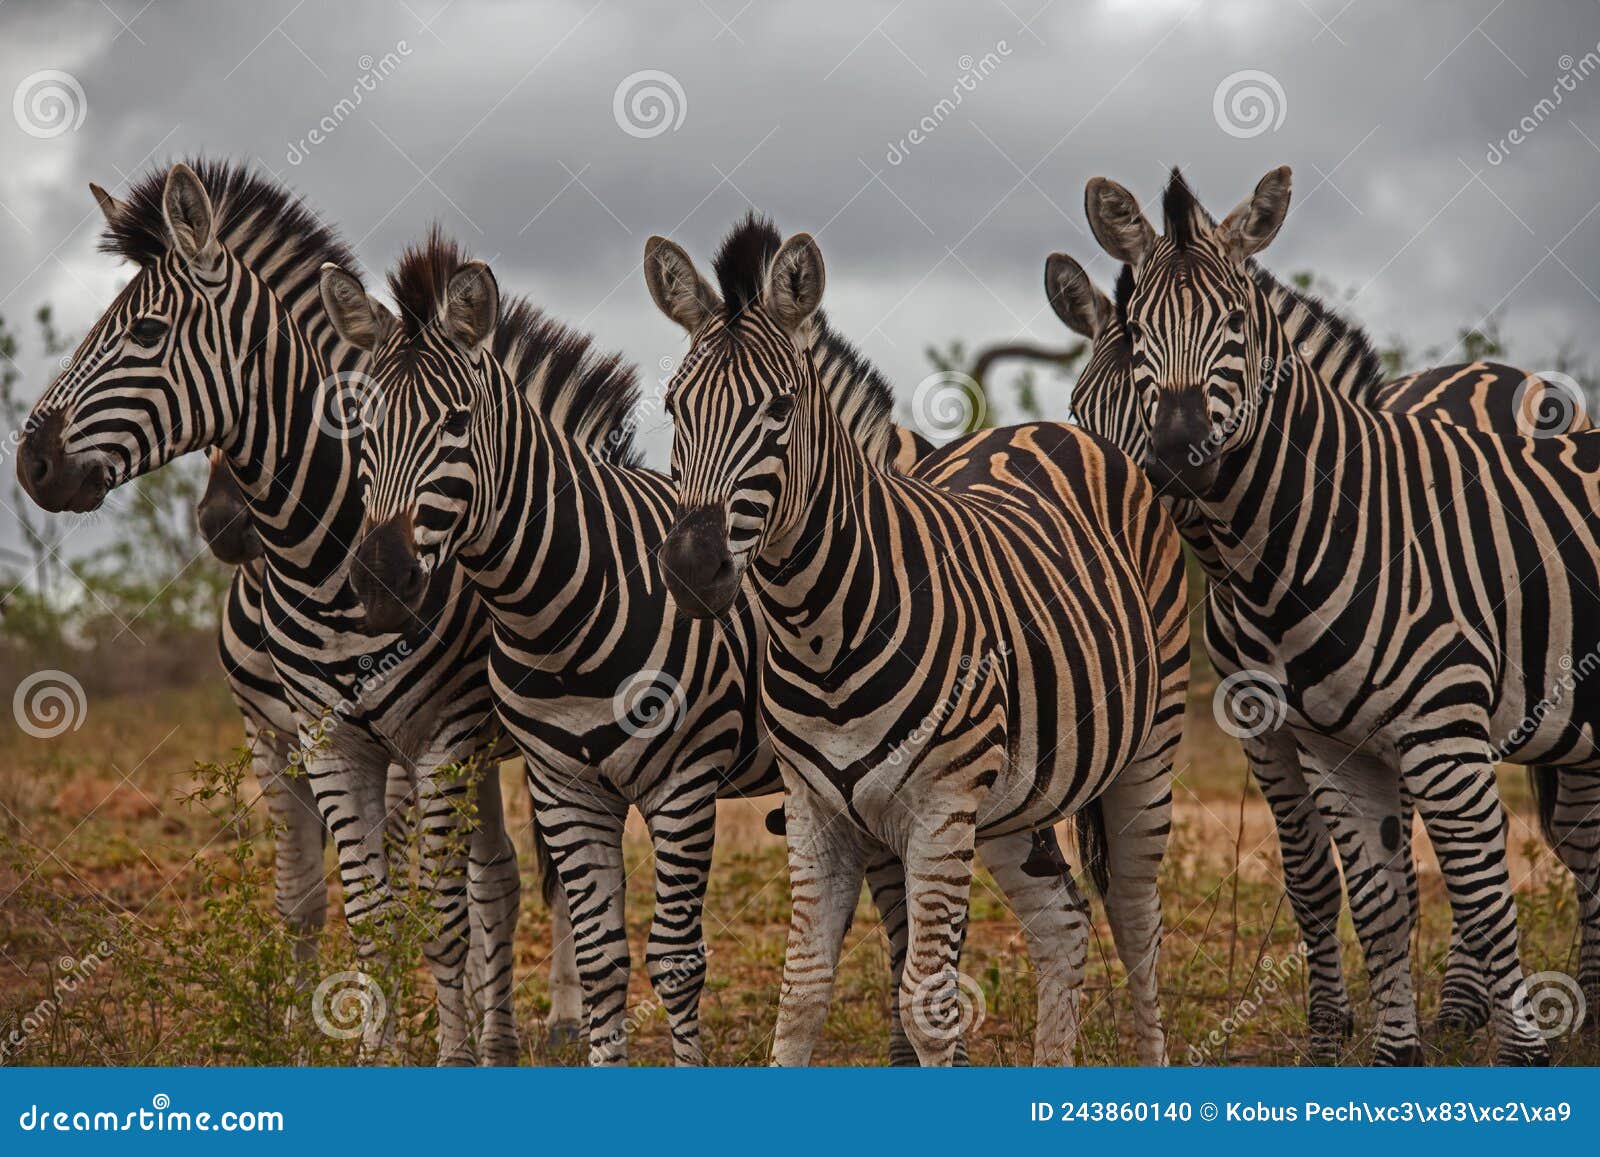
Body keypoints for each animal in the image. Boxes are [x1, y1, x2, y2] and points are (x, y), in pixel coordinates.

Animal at [14, 160, 563, 1065]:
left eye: (147, 332)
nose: (31, 462)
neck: (325, 556)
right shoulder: (314, 738)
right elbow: (349, 910)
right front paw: (360, 1050)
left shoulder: (432, 738)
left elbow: (433, 920)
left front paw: (439, 1053)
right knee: (498, 876)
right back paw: (506, 1038)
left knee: (510, 883)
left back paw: (553, 1022)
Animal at [324, 228, 957, 1066]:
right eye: (361, 425)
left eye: (456, 422)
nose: (378, 577)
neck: (557, 610)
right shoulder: (563, 785)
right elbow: (602, 959)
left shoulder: (685, 781)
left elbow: (676, 960)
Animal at [648, 217, 1189, 1066]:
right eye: (674, 408)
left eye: (779, 408)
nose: (690, 567)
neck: (818, 633)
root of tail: (1050, 427)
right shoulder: (816, 812)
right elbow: (801, 994)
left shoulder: (938, 807)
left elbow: (927, 1004)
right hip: (1013, 798)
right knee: (1063, 923)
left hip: (1145, 751)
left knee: (1136, 921)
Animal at [1082, 163, 1600, 1064]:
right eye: (1142, 332)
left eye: (1235, 323)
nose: (1175, 456)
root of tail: (1519, 382)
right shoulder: (1311, 737)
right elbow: (1365, 891)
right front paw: (1379, 1046)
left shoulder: (1438, 729)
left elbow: (1480, 889)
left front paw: (1519, 1052)